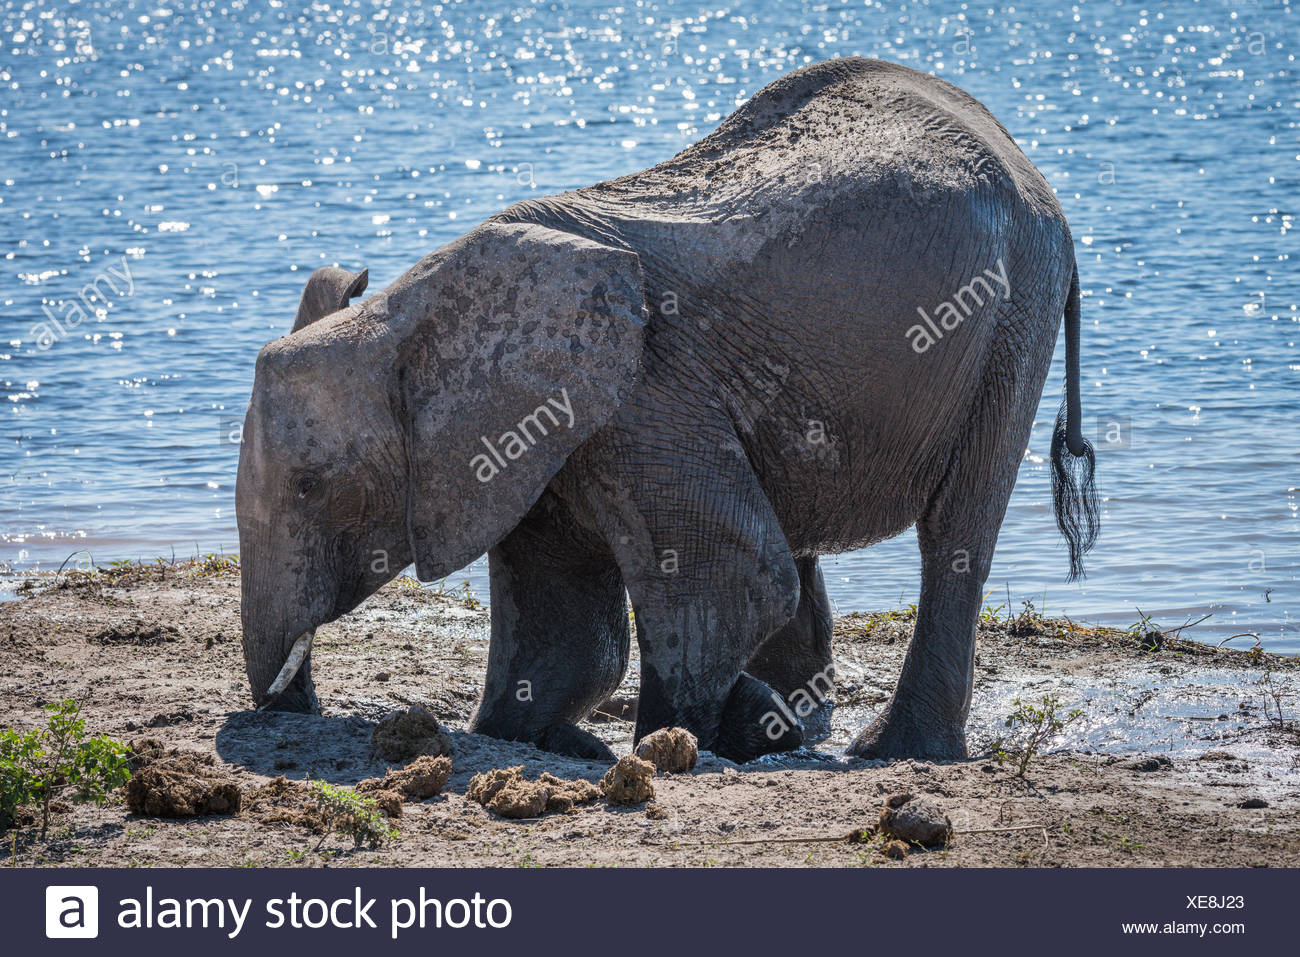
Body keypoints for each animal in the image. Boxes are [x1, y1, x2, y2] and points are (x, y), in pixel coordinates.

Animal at [236, 56, 1098, 764]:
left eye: (313, 486)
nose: (296, 708)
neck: (410, 305)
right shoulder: (534, 438)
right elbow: (564, 620)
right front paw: (542, 739)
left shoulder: (642, 395)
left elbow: (731, 579)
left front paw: (673, 741)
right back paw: (802, 724)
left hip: (1011, 323)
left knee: (953, 533)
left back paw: (887, 750)